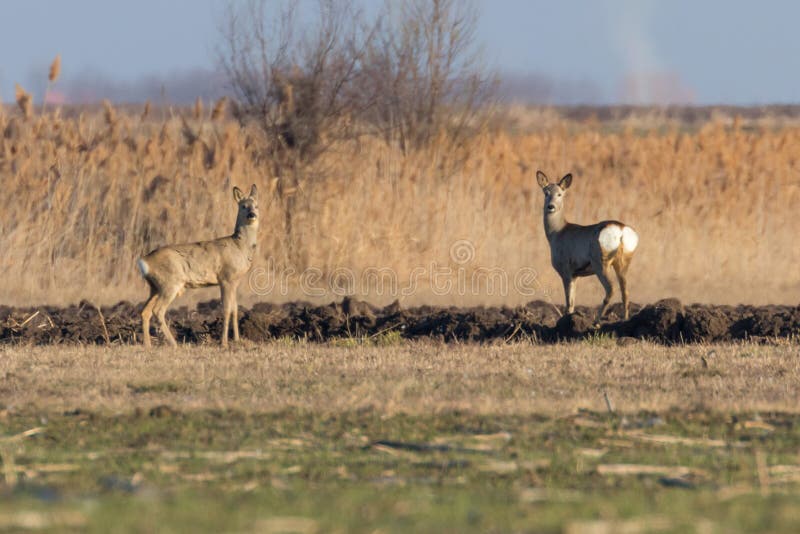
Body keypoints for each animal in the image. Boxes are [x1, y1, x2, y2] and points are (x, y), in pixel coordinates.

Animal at [137, 184, 259, 348]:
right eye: (243, 206)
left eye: (256, 205)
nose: (252, 214)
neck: (240, 246)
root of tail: (145, 261)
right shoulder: (226, 277)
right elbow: (226, 309)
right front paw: (224, 343)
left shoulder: (235, 281)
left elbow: (235, 308)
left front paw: (238, 340)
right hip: (170, 283)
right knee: (158, 310)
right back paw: (174, 344)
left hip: (155, 287)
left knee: (145, 311)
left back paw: (148, 345)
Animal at [535, 171, 639, 322]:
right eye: (546, 193)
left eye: (560, 194)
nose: (551, 206)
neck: (557, 233)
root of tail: (621, 231)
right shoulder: (576, 274)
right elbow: (573, 301)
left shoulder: (566, 269)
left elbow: (568, 302)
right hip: (624, 261)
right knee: (625, 290)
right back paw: (624, 319)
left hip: (600, 261)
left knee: (611, 289)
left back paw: (597, 321)